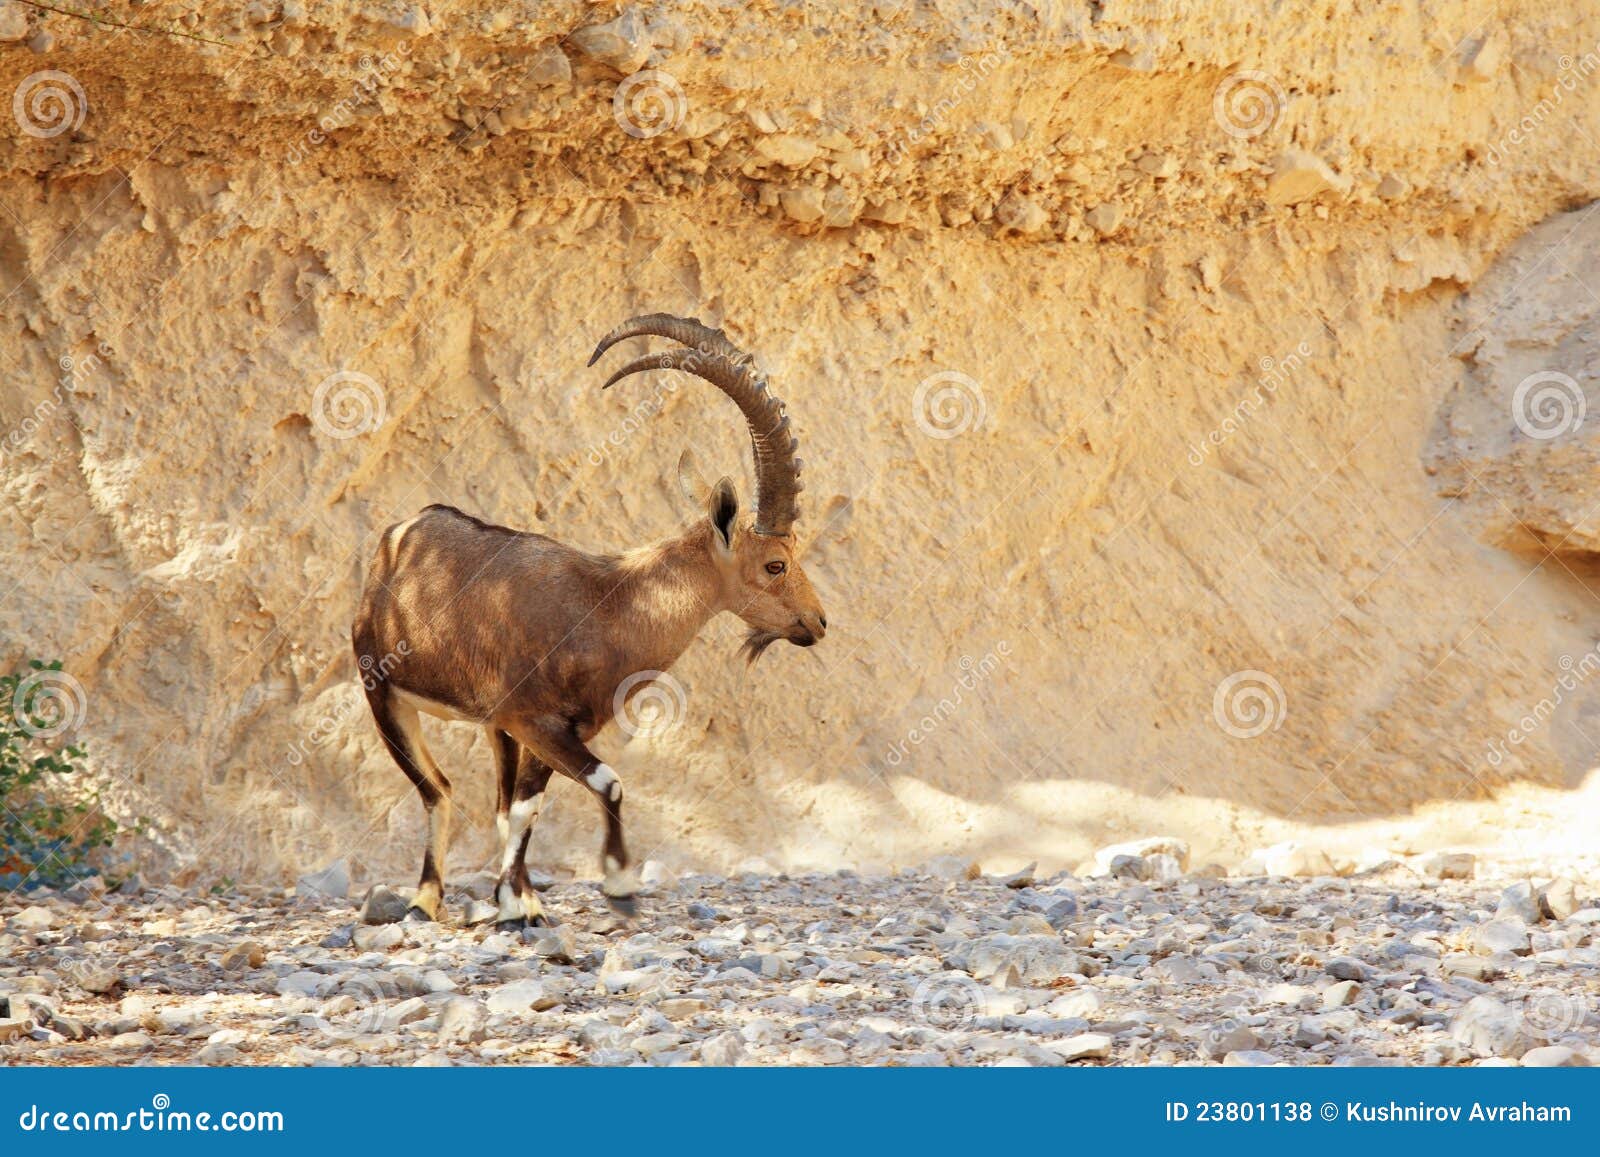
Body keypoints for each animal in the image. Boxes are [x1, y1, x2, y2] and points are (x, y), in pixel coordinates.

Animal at [350, 315, 828, 926]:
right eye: (775, 564)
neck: (608, 603)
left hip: (493, 727)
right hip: (384, 693)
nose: (817, 622)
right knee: (438, 789)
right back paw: (423, 900)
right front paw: (618, 885)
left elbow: (527, 808)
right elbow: (609, 783)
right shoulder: (538, 722)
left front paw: (518, 902)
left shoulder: (550, 729)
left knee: (497, 803)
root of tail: (400, 534)